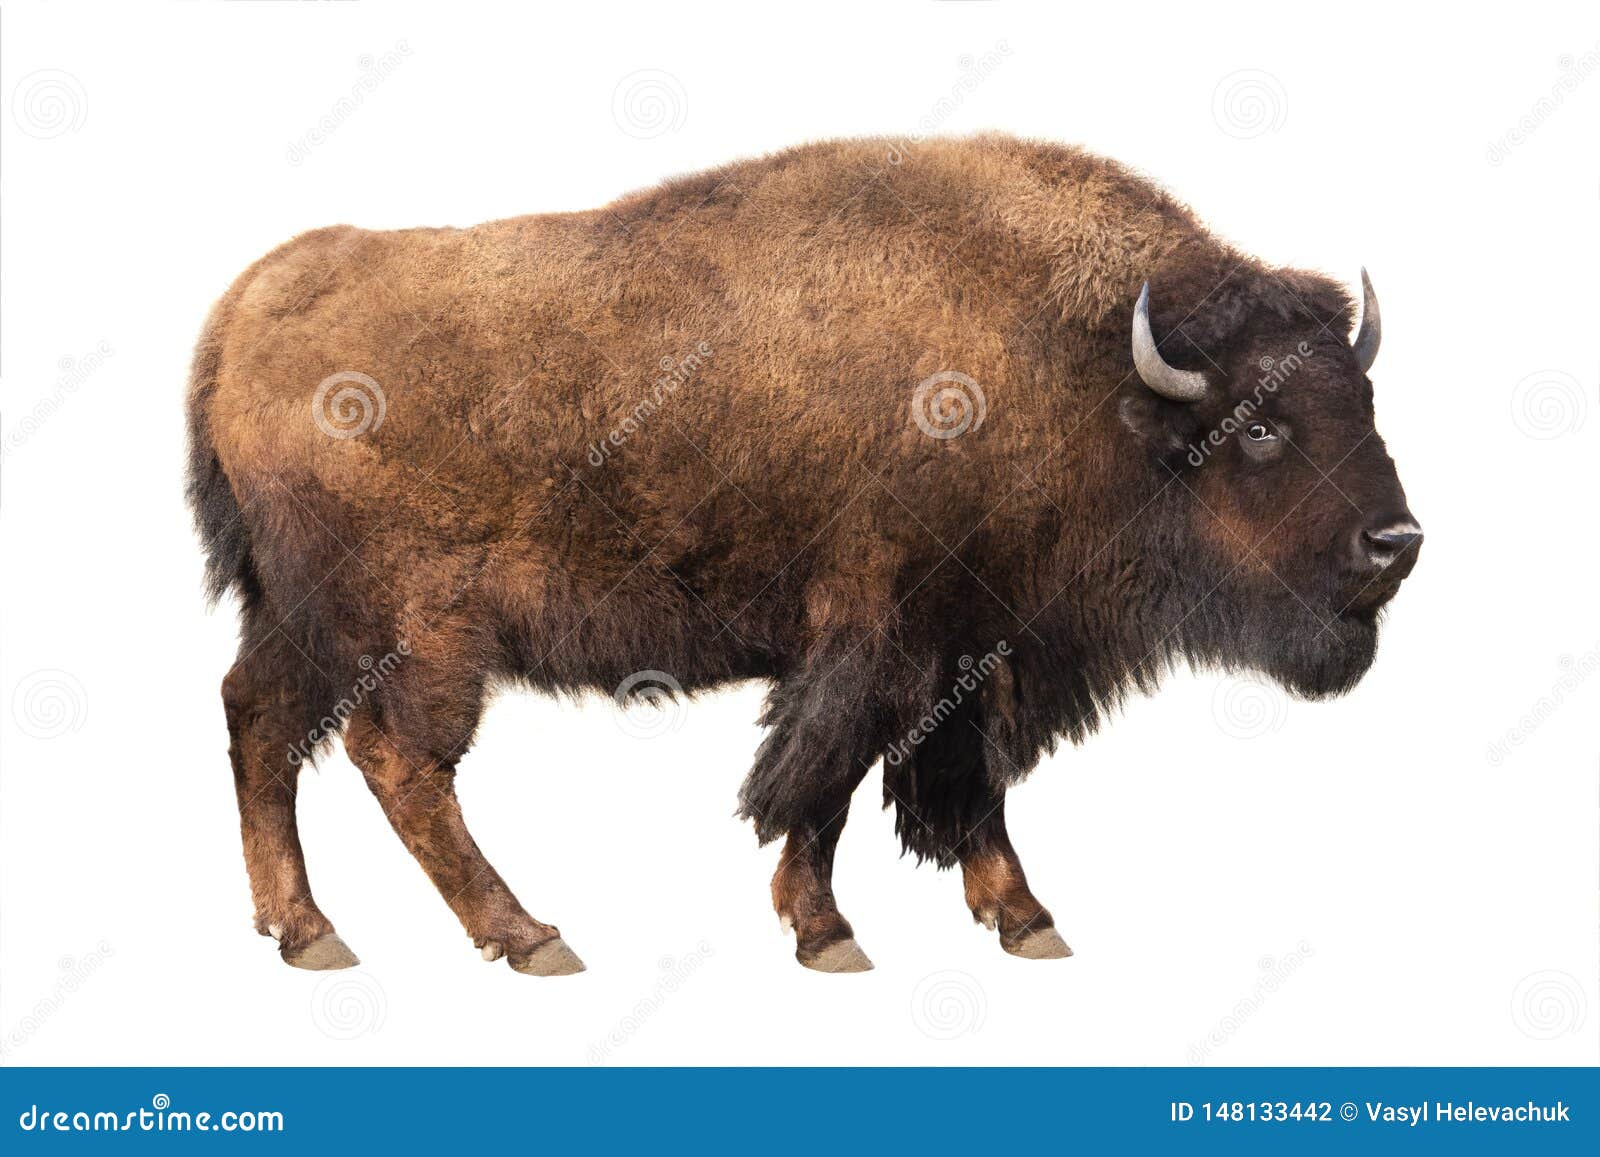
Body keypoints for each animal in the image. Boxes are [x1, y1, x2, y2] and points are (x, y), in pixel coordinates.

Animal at [187, 134, 1420, 974]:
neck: (1083, 367)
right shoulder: (878, 632)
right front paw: (829, 933)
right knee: (398, 759)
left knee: (259, 718)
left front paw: (1024, 920)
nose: (1396, 541)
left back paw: (305, 929)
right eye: (1256, 424)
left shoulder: (973, 641)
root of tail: (243, 313)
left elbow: (960, 780)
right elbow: (828, 777)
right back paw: (529, 935)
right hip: (422, 629)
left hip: (296, 613)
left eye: (1360, 399)